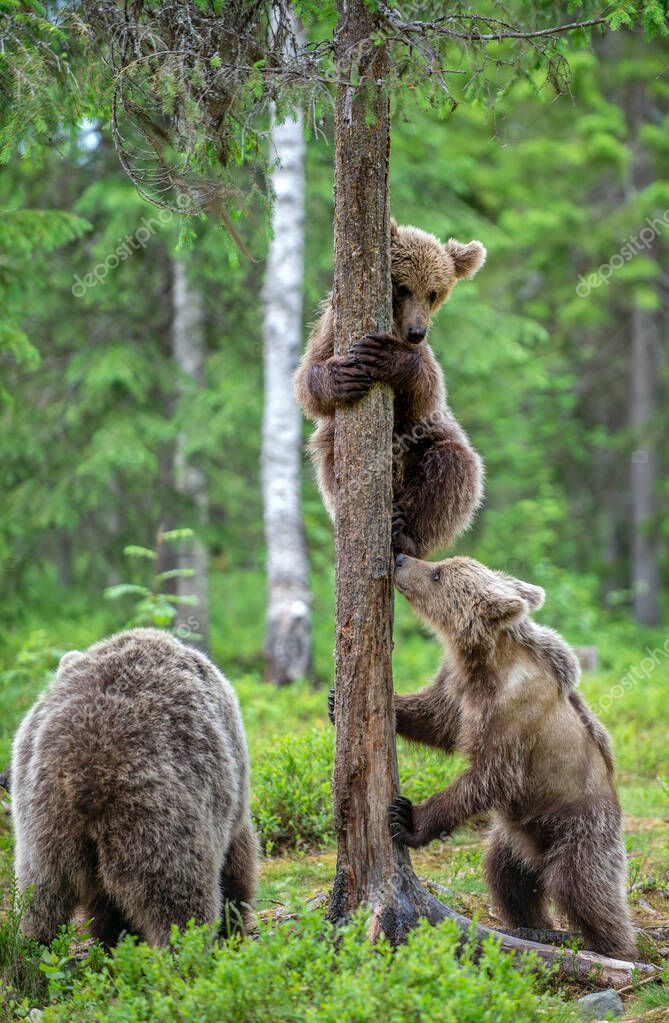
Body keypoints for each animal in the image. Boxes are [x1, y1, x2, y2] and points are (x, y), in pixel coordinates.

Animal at [10, 628, 257, 947]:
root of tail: (81, 776)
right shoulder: (230, 774)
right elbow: (238, 858)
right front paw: (234, 922)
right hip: (156, 819)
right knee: (178, 897)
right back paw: (187, 950)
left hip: (42, 826)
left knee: (39, 897)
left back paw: (31, 949)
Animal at [294, 220, 486, 558]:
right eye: (403, 287)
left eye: (433, 293)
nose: (417, 332)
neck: (395, 325)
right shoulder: (332, 329)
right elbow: (307, 378)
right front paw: (341, 377)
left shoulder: (423, 377)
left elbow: (427, 392)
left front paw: (387, 357)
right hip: (332, 445)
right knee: (332, 466)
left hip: (427, 442)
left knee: (453, 468)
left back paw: (405, 534)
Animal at [388, 554, 636, 960]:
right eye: (442, 563)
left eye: (438, 573)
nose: (401, 558)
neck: (485, 664)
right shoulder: (457, 689)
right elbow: (435, 719)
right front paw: (349, 700)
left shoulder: (513, 720)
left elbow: (487, 777)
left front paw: (408, 817)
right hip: (515, 837)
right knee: (508, 879)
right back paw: (532, 927)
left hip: (581, 829)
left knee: (584, 888)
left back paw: (613, 948)